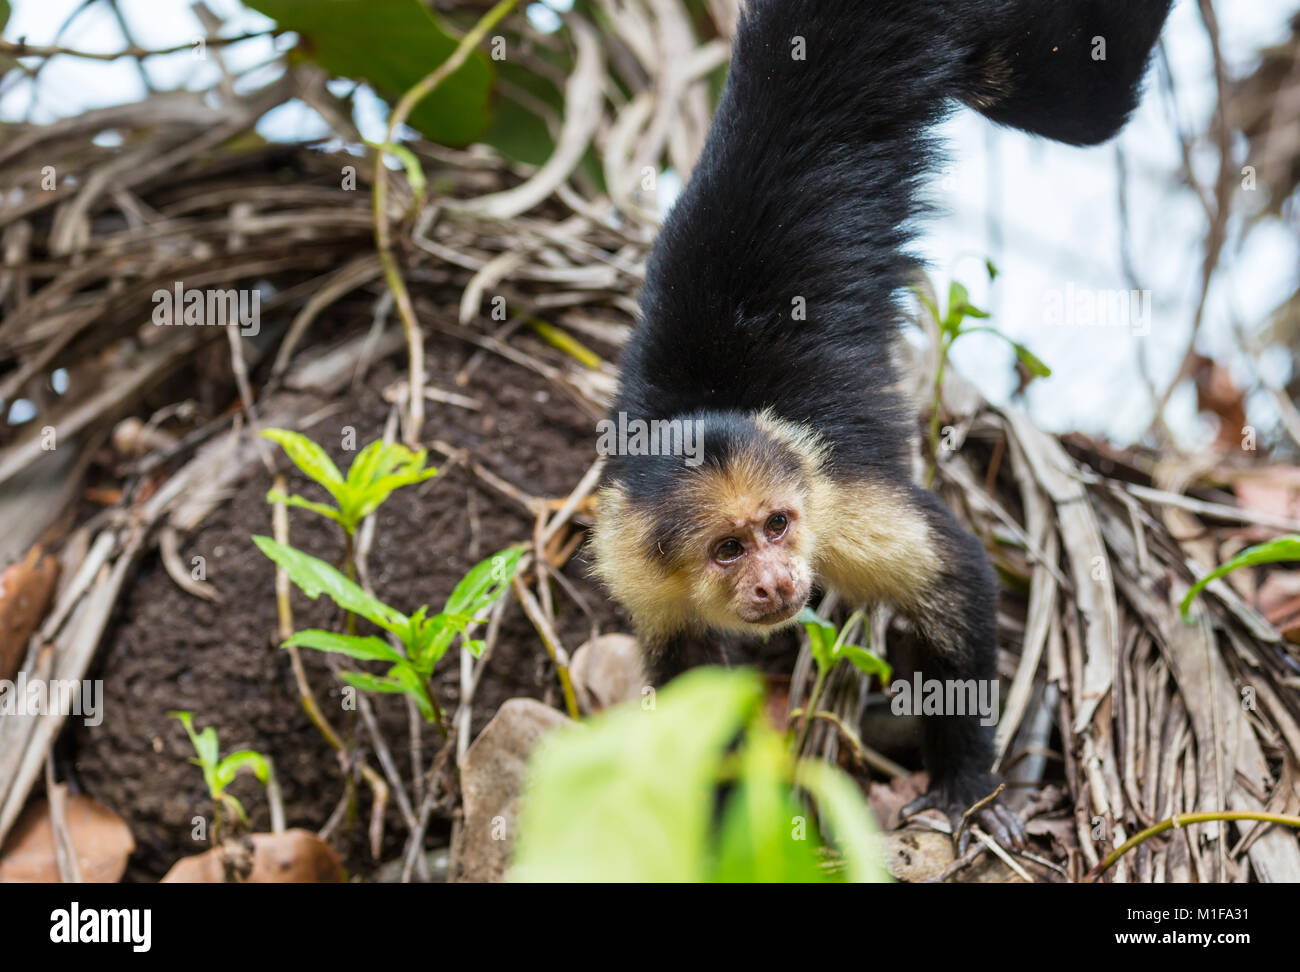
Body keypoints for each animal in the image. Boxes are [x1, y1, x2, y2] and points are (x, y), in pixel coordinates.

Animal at [590, 0, 1173, 852]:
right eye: (728, 548)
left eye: (777, 525)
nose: (777, 581)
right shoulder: (642, 576)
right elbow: (699, 697)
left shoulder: (836, 500)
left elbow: (955, 577)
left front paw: (963, 783)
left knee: (1078, 105)